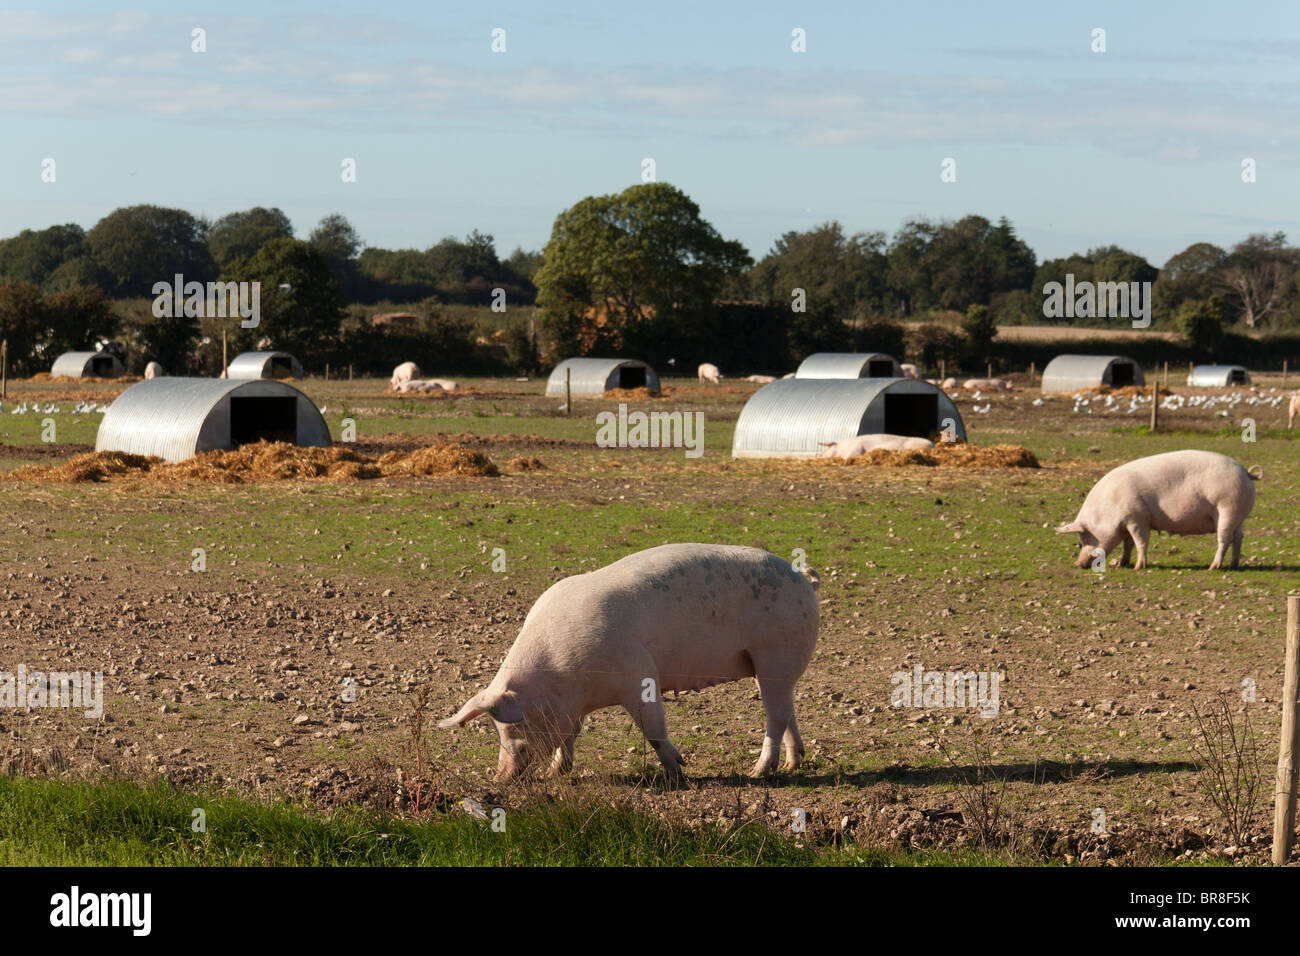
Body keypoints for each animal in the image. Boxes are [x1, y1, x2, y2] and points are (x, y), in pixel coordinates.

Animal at [441, 546, 816, 785]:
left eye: (514, 726)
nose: (500, 777)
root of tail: (806, 580)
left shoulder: (639, 674)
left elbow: (653, 729)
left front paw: (678, 771)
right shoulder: (573, 706)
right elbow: (570, 735)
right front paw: (554, 774)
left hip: (776, 653)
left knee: (776, 716)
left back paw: (758, 772)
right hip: (770, 665)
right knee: (788, 711)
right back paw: (793, 763)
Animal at [1055, 447, 1258, 567]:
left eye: (1084, 537)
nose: (1078, 564)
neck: (1108, 508)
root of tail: (1247, 473)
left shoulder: (1138, 517)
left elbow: (1141, 541)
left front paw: (1138, 567)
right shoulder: (1126, 522)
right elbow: (1128, 544)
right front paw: (1122, 564)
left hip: (1227, 507)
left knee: (1224, 539)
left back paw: (1213, 567)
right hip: (1239, 515)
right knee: (1239, 537)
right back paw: (1233, 565)